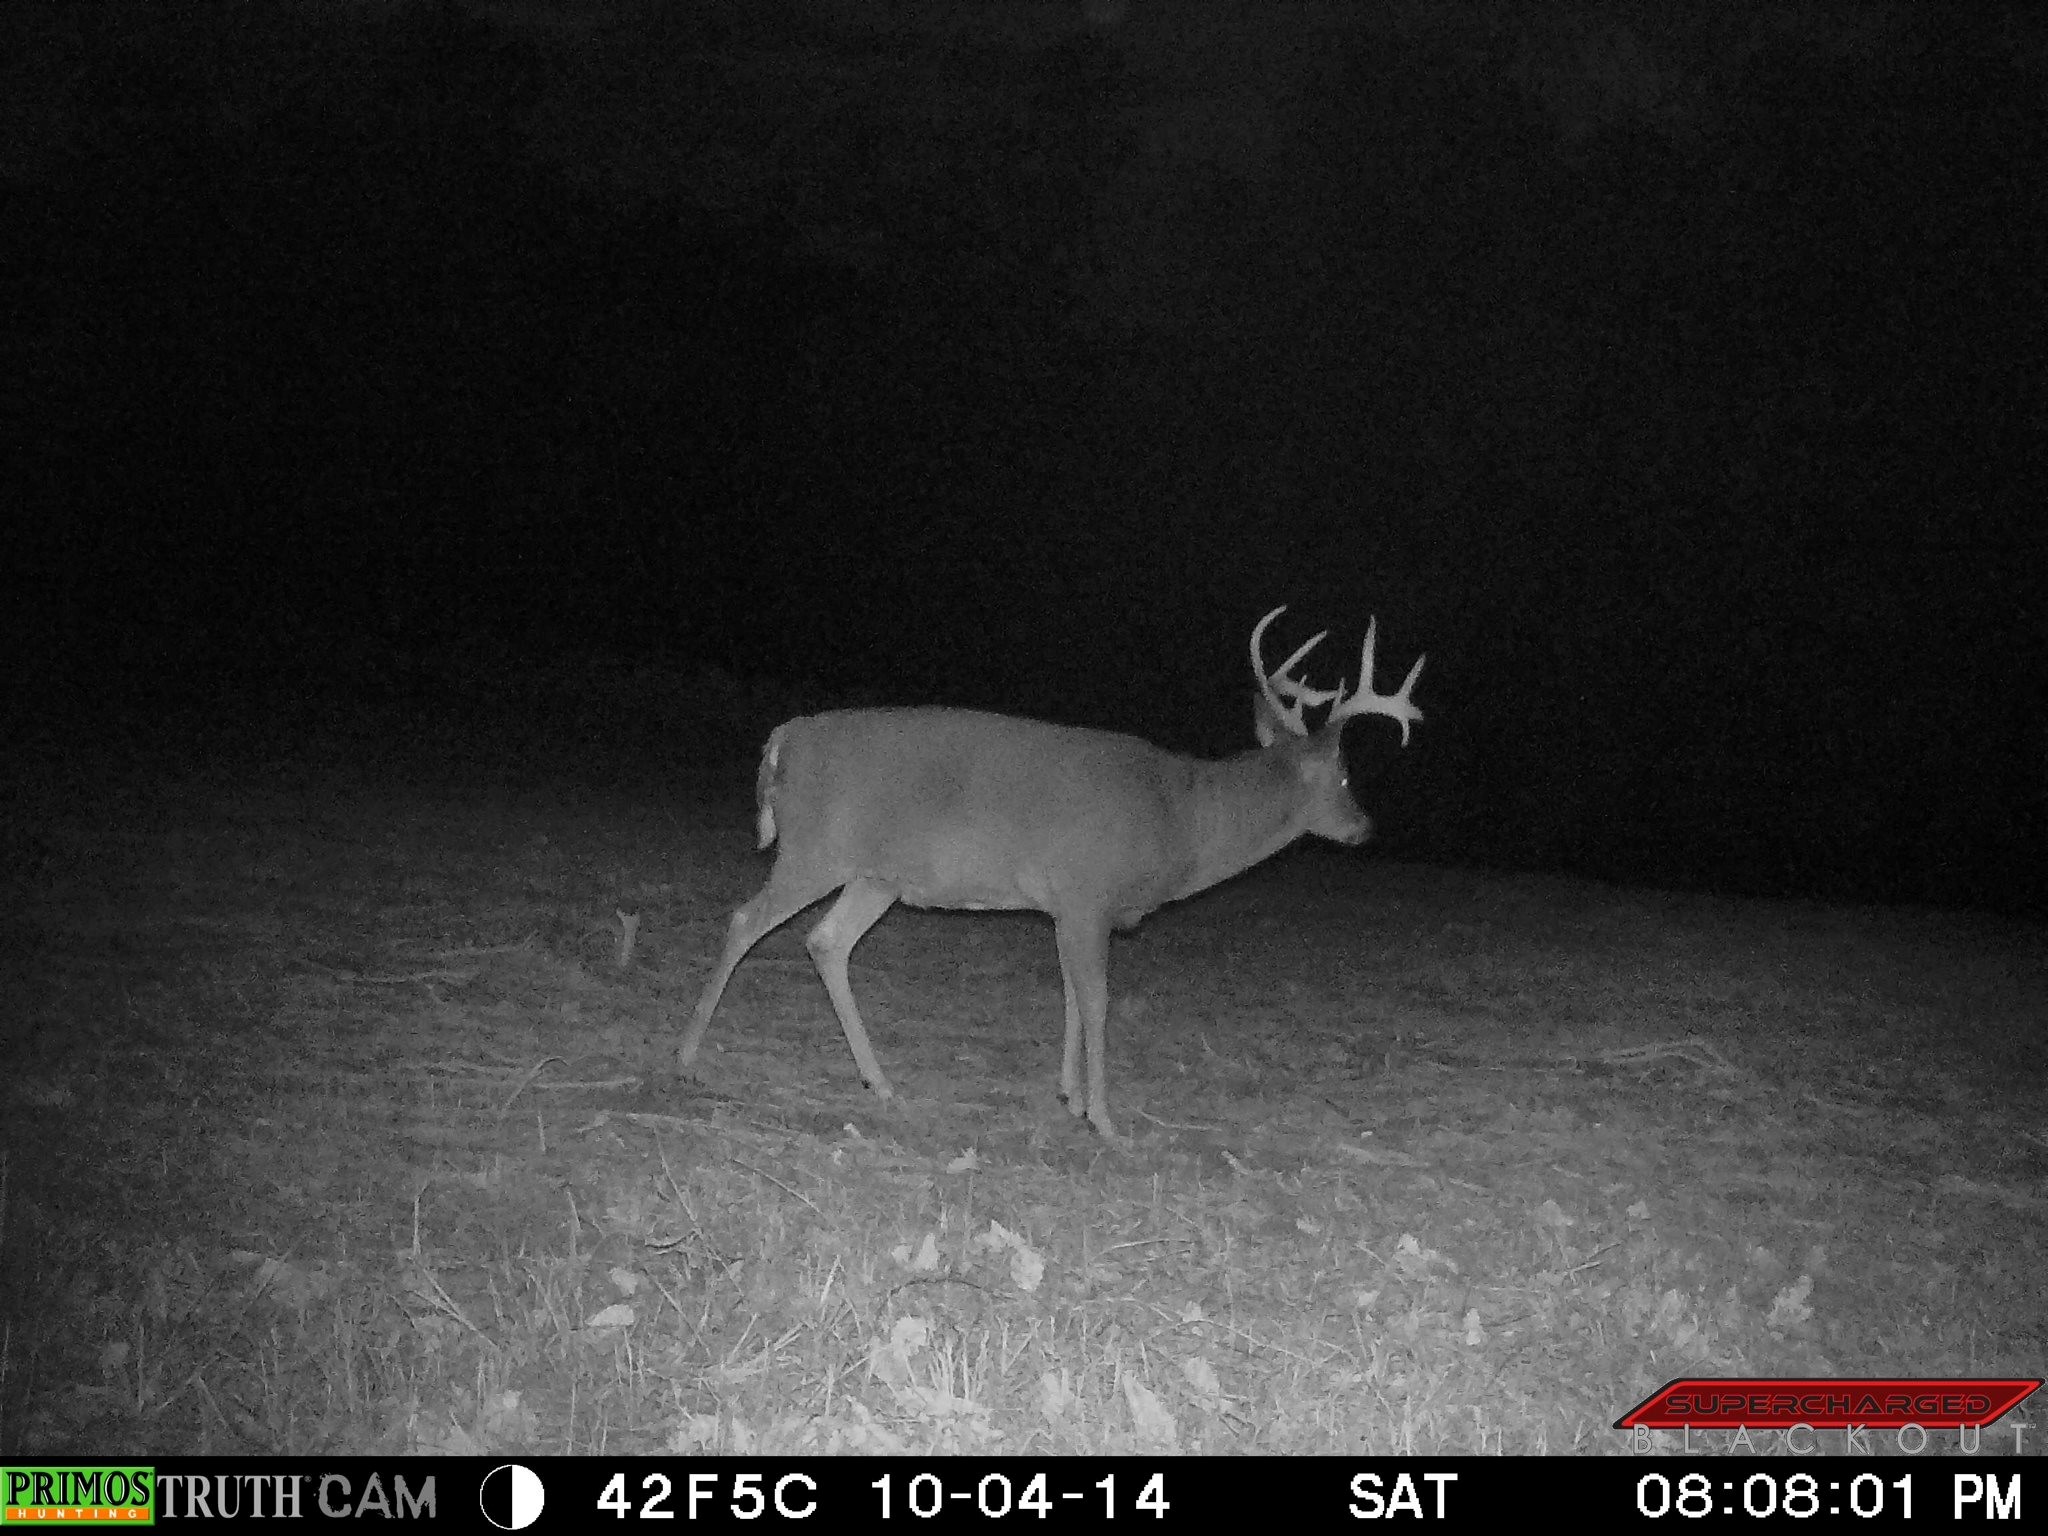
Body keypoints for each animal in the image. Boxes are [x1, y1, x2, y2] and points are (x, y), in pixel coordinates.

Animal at [678, 607, 1425, 1139]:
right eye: (1345, 774)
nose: (1367, 827)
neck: (1181, 819)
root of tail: (782, 740)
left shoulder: (1069, 907)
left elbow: (1069, 994)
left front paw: (1068, 1097)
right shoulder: (1090, 893)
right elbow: (1096, 1000)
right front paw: (1106, 1119)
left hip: (876, 874)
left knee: (826, 942)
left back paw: (881, 1083)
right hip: (816, 847)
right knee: (745, 918)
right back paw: (687, 1051)